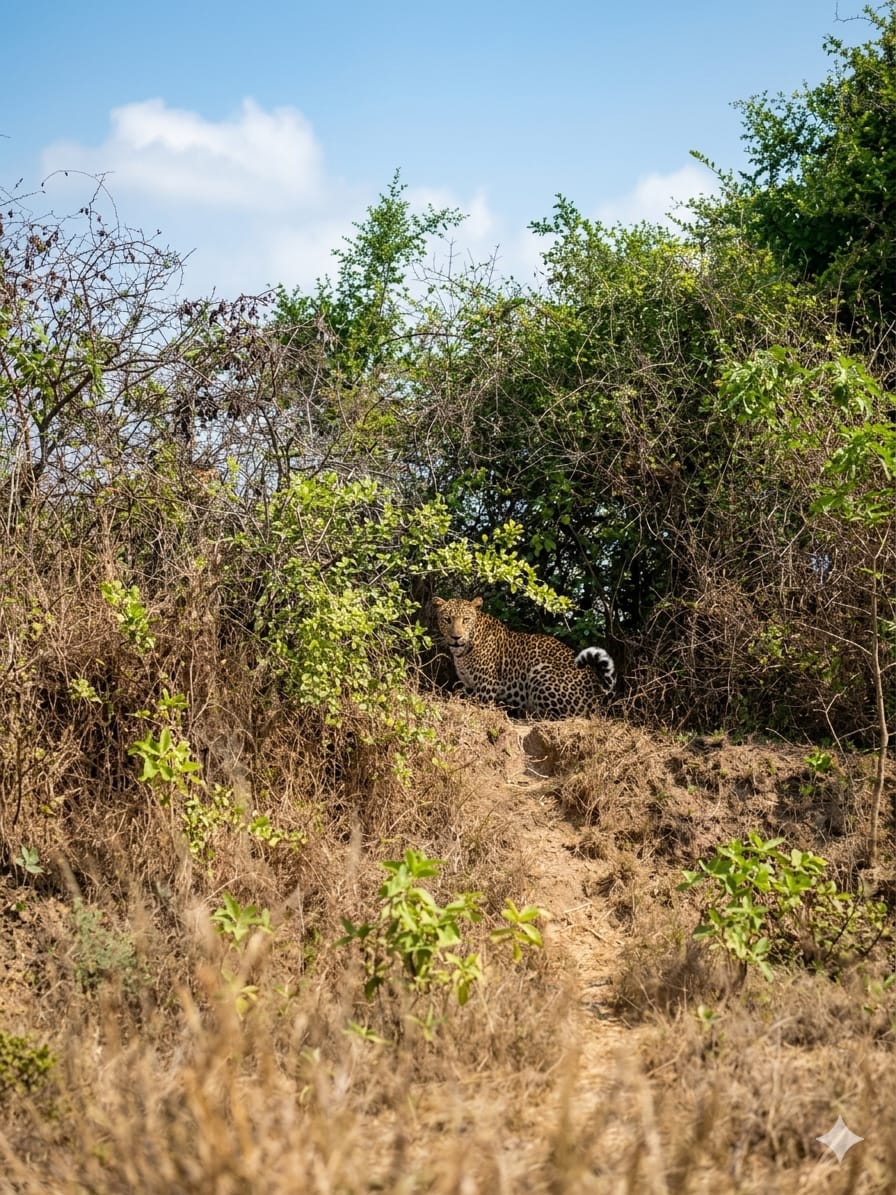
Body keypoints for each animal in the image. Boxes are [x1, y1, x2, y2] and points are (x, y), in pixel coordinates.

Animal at [432, 595, 615, 720]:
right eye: (447, 620)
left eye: (466, 620)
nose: (456, 637)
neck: (463, 653)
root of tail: (596, 694)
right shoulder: (468, 684)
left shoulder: (487, 685)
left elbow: (478, 704)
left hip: (540, 673)